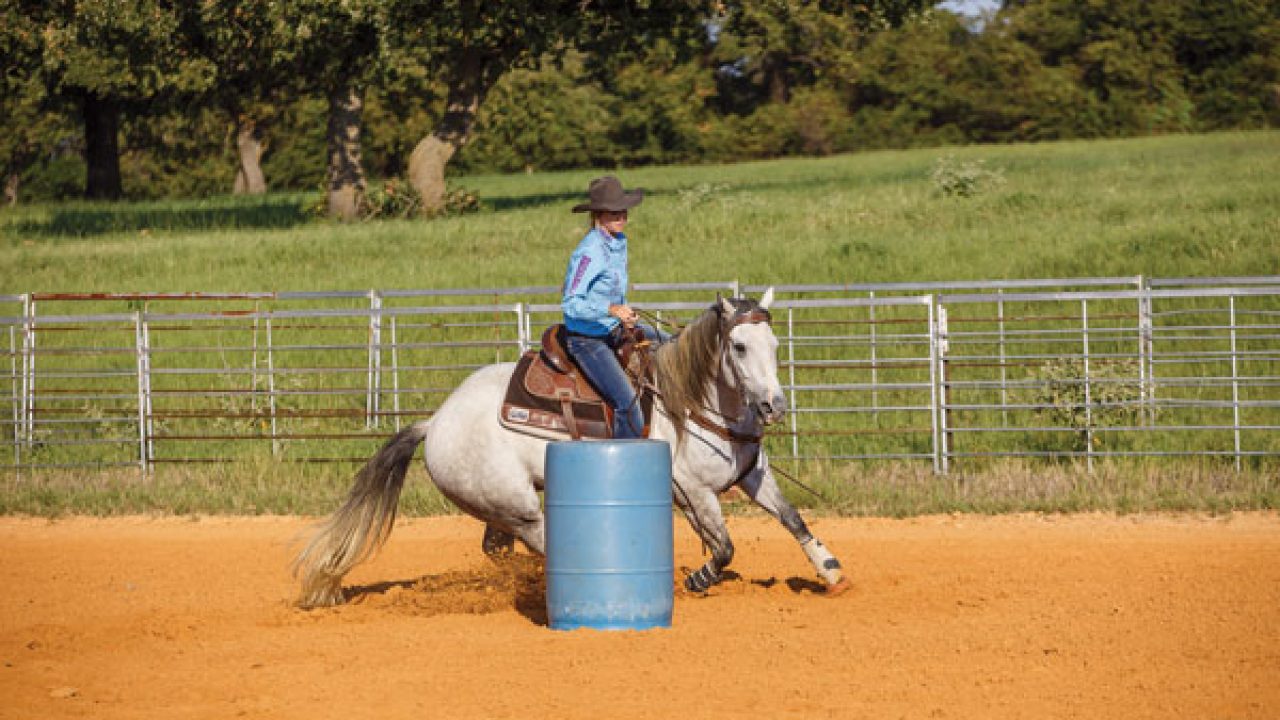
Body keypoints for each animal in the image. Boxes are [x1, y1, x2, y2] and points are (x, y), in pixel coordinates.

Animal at [293, 289, 849, 608]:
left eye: (774, 345)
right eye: (738, 347)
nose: (775, 406)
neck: (694, 403)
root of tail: (435, 422)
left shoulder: (752, 475)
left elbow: (793, 519)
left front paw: (831, 571)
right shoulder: (695, 492)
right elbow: (725, 546)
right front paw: (697, 580)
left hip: (497, 506)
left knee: (498, 549)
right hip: (518, 508)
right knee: (542, 540)